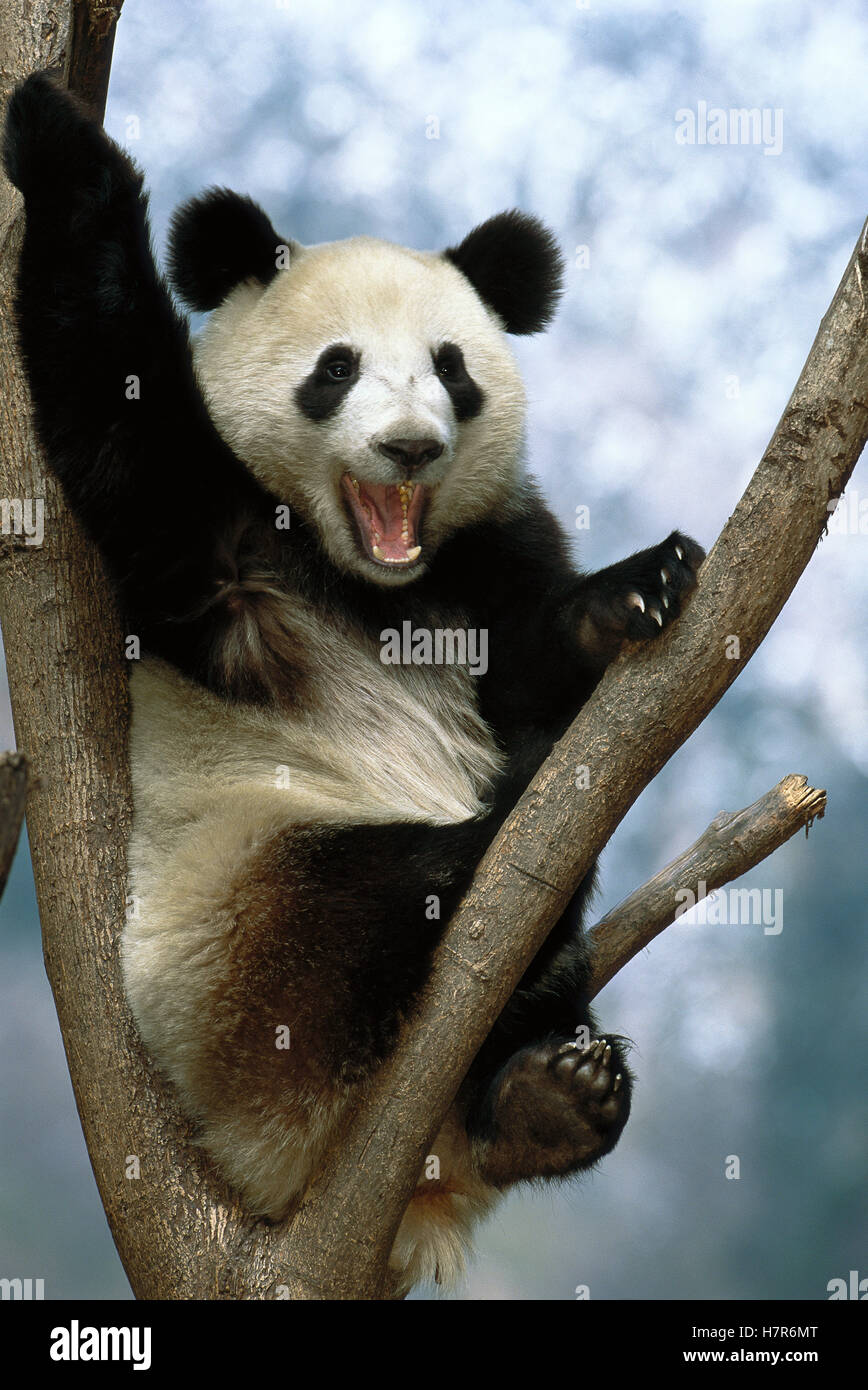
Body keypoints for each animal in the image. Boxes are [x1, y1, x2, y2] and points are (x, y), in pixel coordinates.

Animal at [4, 73, 704, 1296]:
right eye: (336, 369)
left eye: (451, 368)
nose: (412, 447)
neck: (367, 575)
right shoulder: (220, 557)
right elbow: (116, 408)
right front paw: (59, 140)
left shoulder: (485, 554)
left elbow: (534, 662)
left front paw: (637, 590)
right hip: (235, 929)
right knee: (375, 896)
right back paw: (510, 836)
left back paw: (542, 1098)